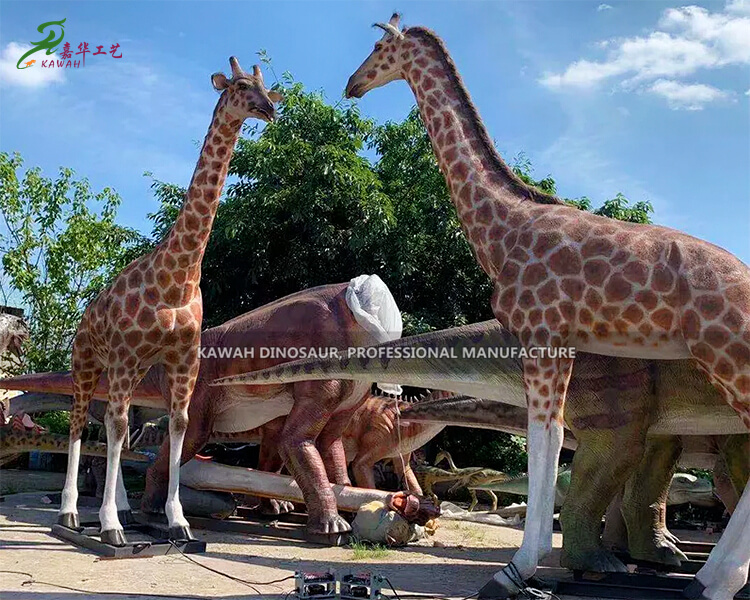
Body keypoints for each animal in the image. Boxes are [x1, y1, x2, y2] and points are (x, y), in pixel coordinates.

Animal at [58, 57, 280, 546]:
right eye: (241, 86)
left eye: (266, 86)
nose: (270, 109)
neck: (178, 276)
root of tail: (83, 316)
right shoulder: (126, 355)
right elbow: (118, 427)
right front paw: (110, 527)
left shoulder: (184, 358)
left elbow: (176, 427)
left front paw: (178, 521)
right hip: (88, 362)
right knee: (82, 421)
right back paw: (71, 514)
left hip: (130, 368)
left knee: (113, 424)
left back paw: (118, 508)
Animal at [344, 14, 750, 600]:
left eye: (378, 47)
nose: (352, 85)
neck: (506, 228)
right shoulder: (558, 342)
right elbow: (553, 441)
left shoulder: (541, 332)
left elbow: (547, 440)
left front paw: (514, 571)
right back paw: (707, 575)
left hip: (724, 358)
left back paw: (712, 580)